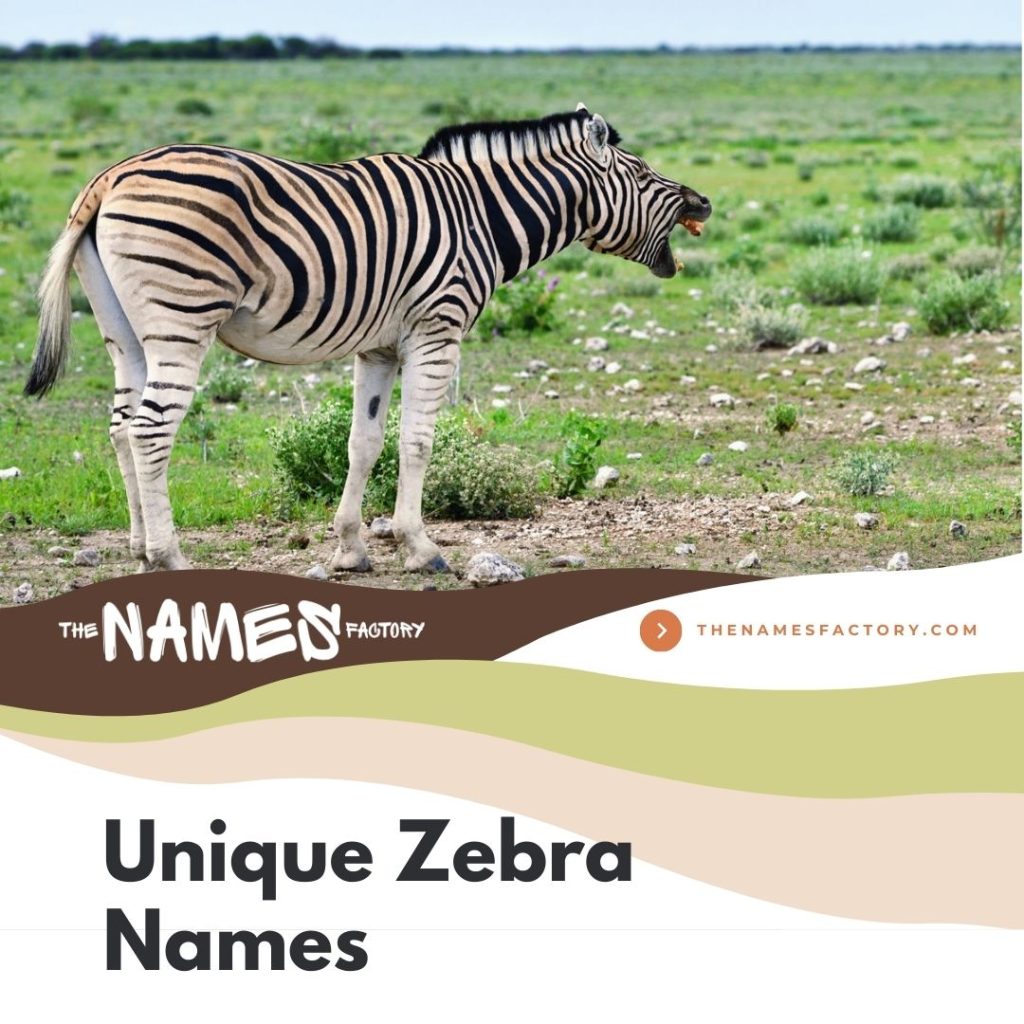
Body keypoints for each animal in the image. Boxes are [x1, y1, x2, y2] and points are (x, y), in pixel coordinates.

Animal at [24, 105, 711, 574]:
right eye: (643, 173)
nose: (704, 201)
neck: (481, 215)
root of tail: (110, 177)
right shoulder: (437, 329)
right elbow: (417, 440)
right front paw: (420, 547)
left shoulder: (378, 346)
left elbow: (363, 442)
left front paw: (352, 548)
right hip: (183, 317)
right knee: (150, 429)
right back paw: (169, 556)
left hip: (124, 333)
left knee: (120, 427)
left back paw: (139, 548)